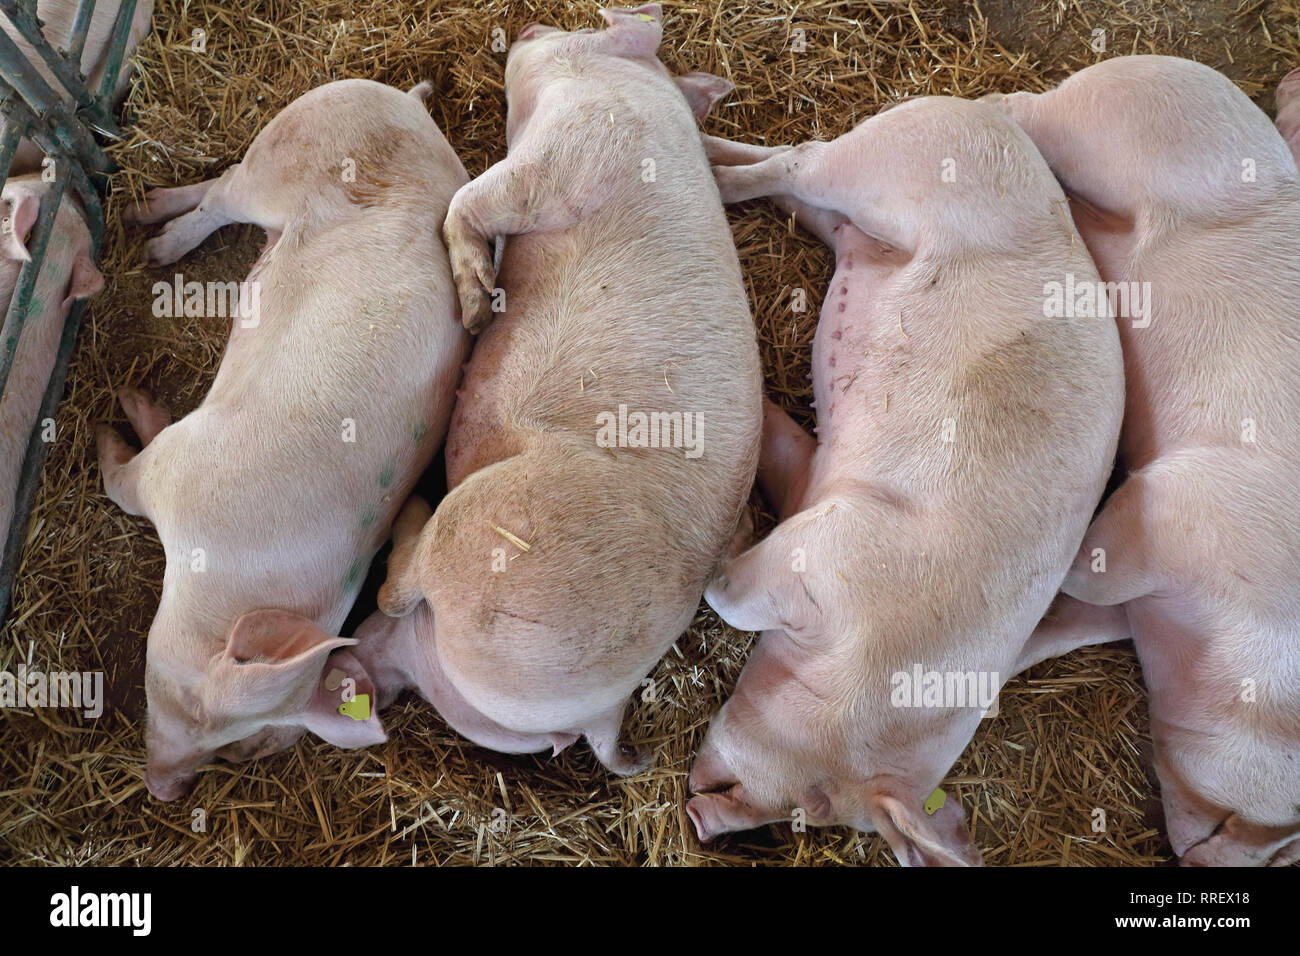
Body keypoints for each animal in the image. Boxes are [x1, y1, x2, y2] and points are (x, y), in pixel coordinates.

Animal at [101, 79, 470, 800]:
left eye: (231, 746)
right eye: (192, 704)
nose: (165, 790)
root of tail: (407, 105)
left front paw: (130, 407)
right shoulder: (172, 471)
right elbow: (120, 481)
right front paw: (115, 415)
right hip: (284, 154)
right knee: (223, 190)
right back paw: (152, 237)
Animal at [348, 6, 761, 775]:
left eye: (577, 27)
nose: (529, 25)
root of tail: (604, 710)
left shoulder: (567, 154)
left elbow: (469, 201)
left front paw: (477, 308)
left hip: (490, 530)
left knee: (398, 590)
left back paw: (409, 516)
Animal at [685, 97, 1125, 865]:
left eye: (812, 812)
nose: (699, 823)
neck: (877, 658)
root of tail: (993, 121)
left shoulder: (814, 484)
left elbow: (784, 444)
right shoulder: (831, 551)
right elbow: (734, 599)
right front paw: (718, 562)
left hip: (854, 215)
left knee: (796, 176)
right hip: (887, 162)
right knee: (798, 159)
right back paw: (711, 167)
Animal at [992, 55, 1300, 866]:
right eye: (1230, 822)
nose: (1190, 857)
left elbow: (1079, 625)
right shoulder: (1179, 505)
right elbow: (1092, 569)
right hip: (1116, 123)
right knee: (1028, 109)